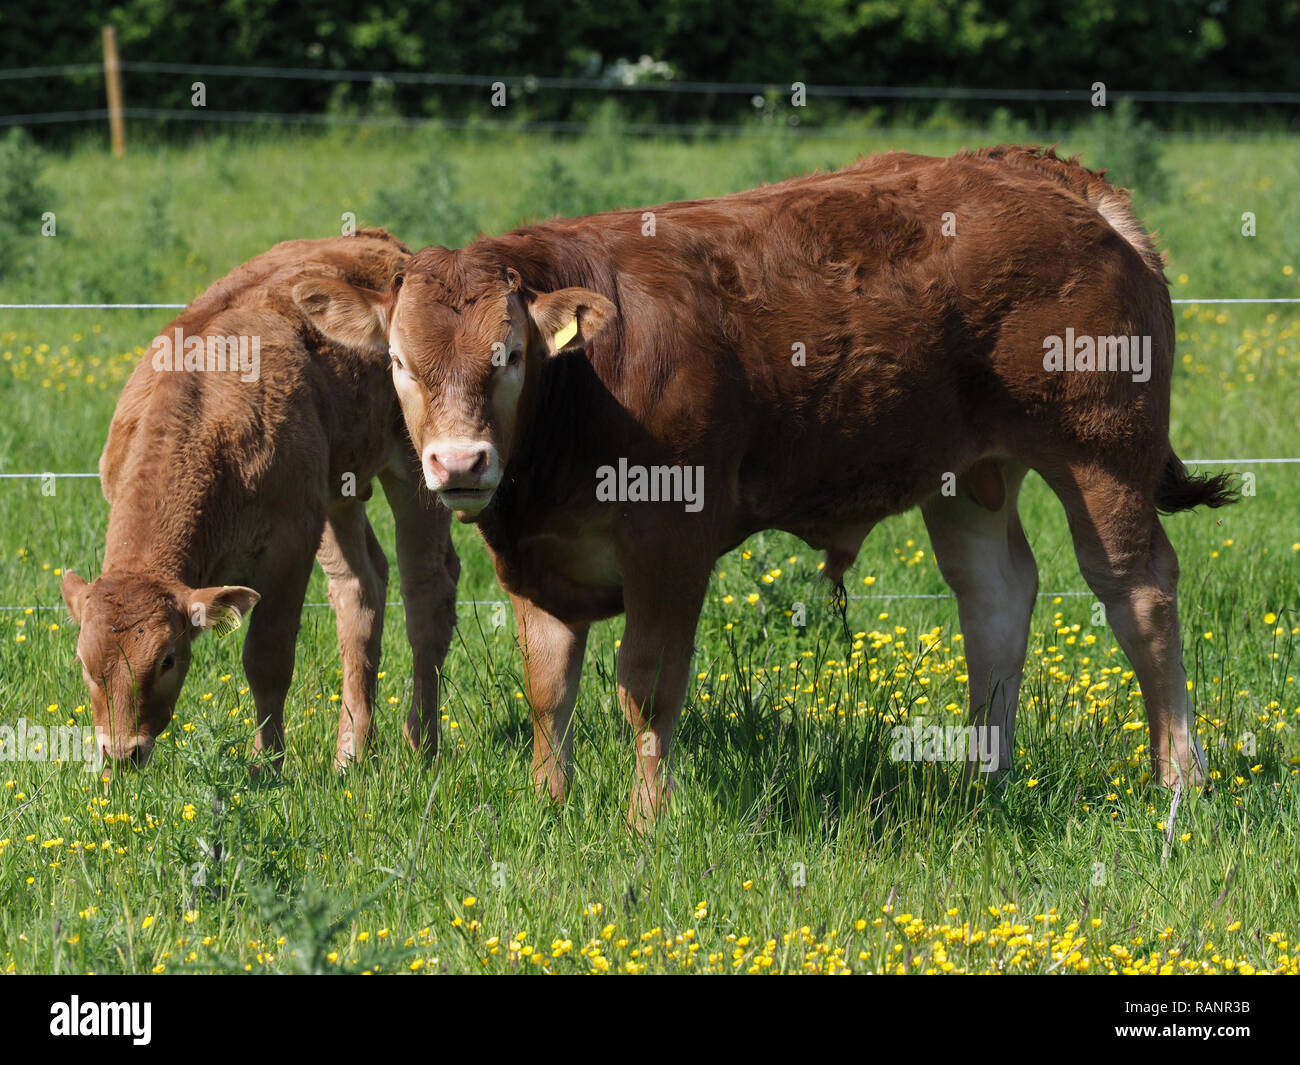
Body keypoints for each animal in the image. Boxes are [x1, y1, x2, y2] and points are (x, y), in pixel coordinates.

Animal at [61, 230, 459, 771]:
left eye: (167, 659)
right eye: (85, 663)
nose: (122, 753)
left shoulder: (290, 541)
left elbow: (266, 657)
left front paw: (266, 764)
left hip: (419, 469)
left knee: (426, 594)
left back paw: (423, 747)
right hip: (335, 495)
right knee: (361, 588)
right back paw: (352, 754)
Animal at [297, 146, 1233, 826]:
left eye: (512, 354)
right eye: (397, 362)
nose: (459, 465)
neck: (582, 392)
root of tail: (1045, 172)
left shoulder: (670, 542)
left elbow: (646, 682)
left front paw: (646, 818)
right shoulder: (533, 559)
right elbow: (548, 684)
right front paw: (548, 805)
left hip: (1103, 448)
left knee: (1138, 592)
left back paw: (1179, 779)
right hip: (968, 471)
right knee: (996, 597)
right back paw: (984, 778)